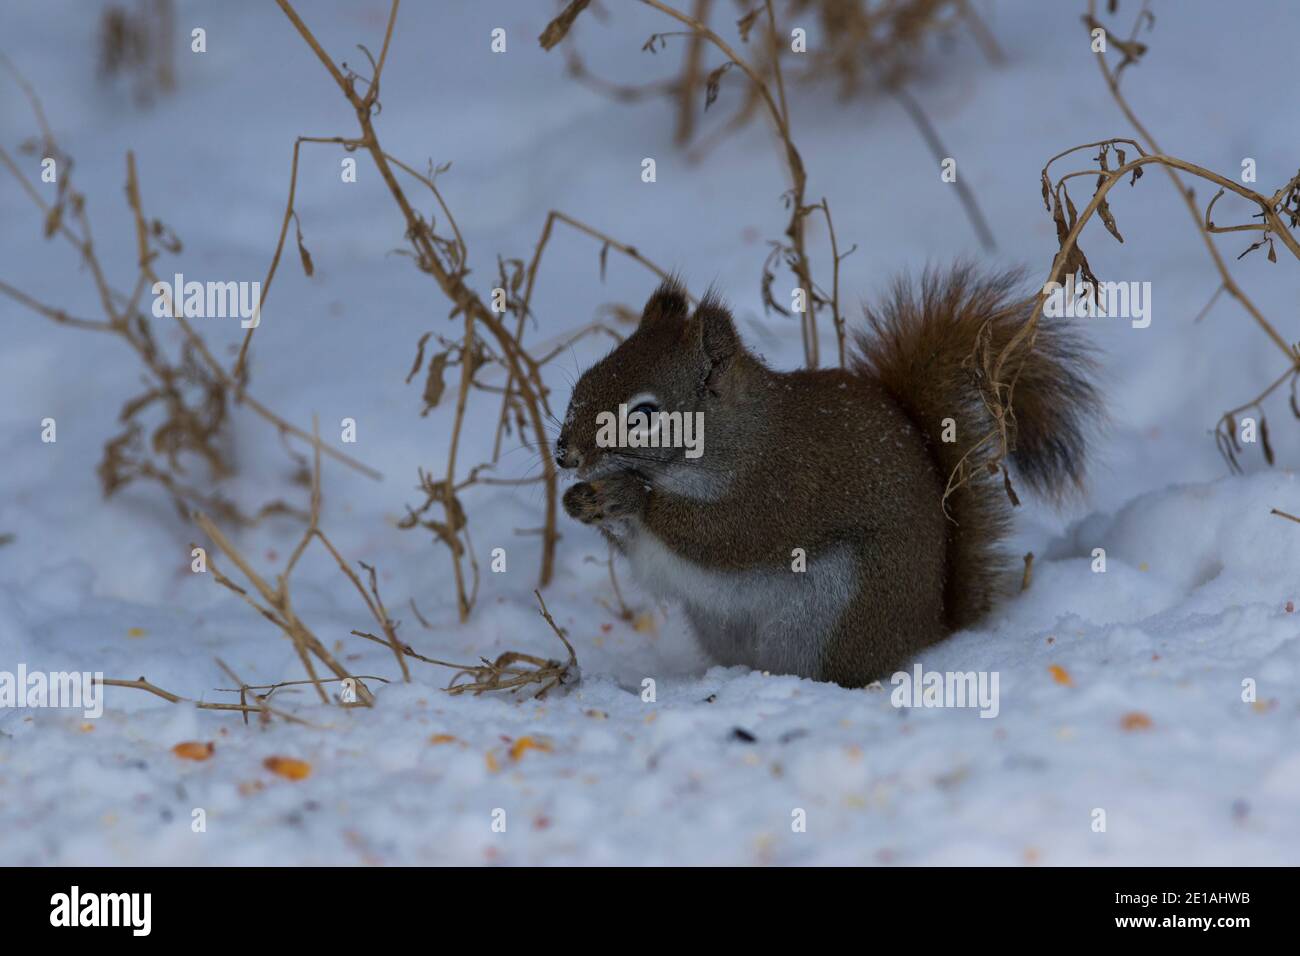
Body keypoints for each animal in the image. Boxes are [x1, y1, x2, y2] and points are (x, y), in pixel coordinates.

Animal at [557, 265, 1099, 687]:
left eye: (644, 415)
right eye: (584, 380)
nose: (564, 455)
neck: (734, 438)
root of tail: (930, 627)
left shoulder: (780, 490)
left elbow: (721, 534)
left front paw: (630, 494)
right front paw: (581, 503)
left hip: (834, 615)